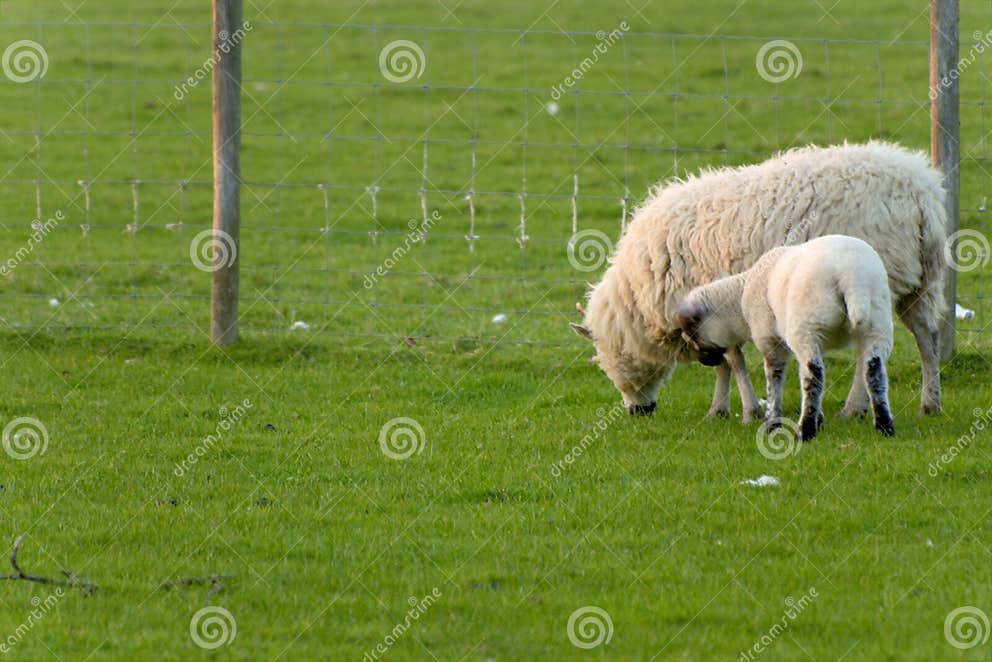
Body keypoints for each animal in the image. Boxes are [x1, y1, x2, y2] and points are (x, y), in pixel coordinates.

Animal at [570, 141, 945, 420]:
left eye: (606, 357)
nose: (638, 411)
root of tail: (922, 190)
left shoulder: (711, 308)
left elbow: (731, 359)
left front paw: (742, 409)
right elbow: (723, 362)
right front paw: (721, 409)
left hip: (875, 282)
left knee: (875, 347)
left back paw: (854, 408)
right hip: (918, 282)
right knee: (927, 337)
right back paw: (930, 402)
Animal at [677, 235, 895, 441]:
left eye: (693, 334)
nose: (705, 362)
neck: (739, 302)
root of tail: (851, 278)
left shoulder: (770, 342)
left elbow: (774, 379)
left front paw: (772, 423)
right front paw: (819, 419)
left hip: (807, 327)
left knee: (813, 375)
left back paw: (805, 431)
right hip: (877, 325)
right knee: (873, 371)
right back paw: (884, 427)